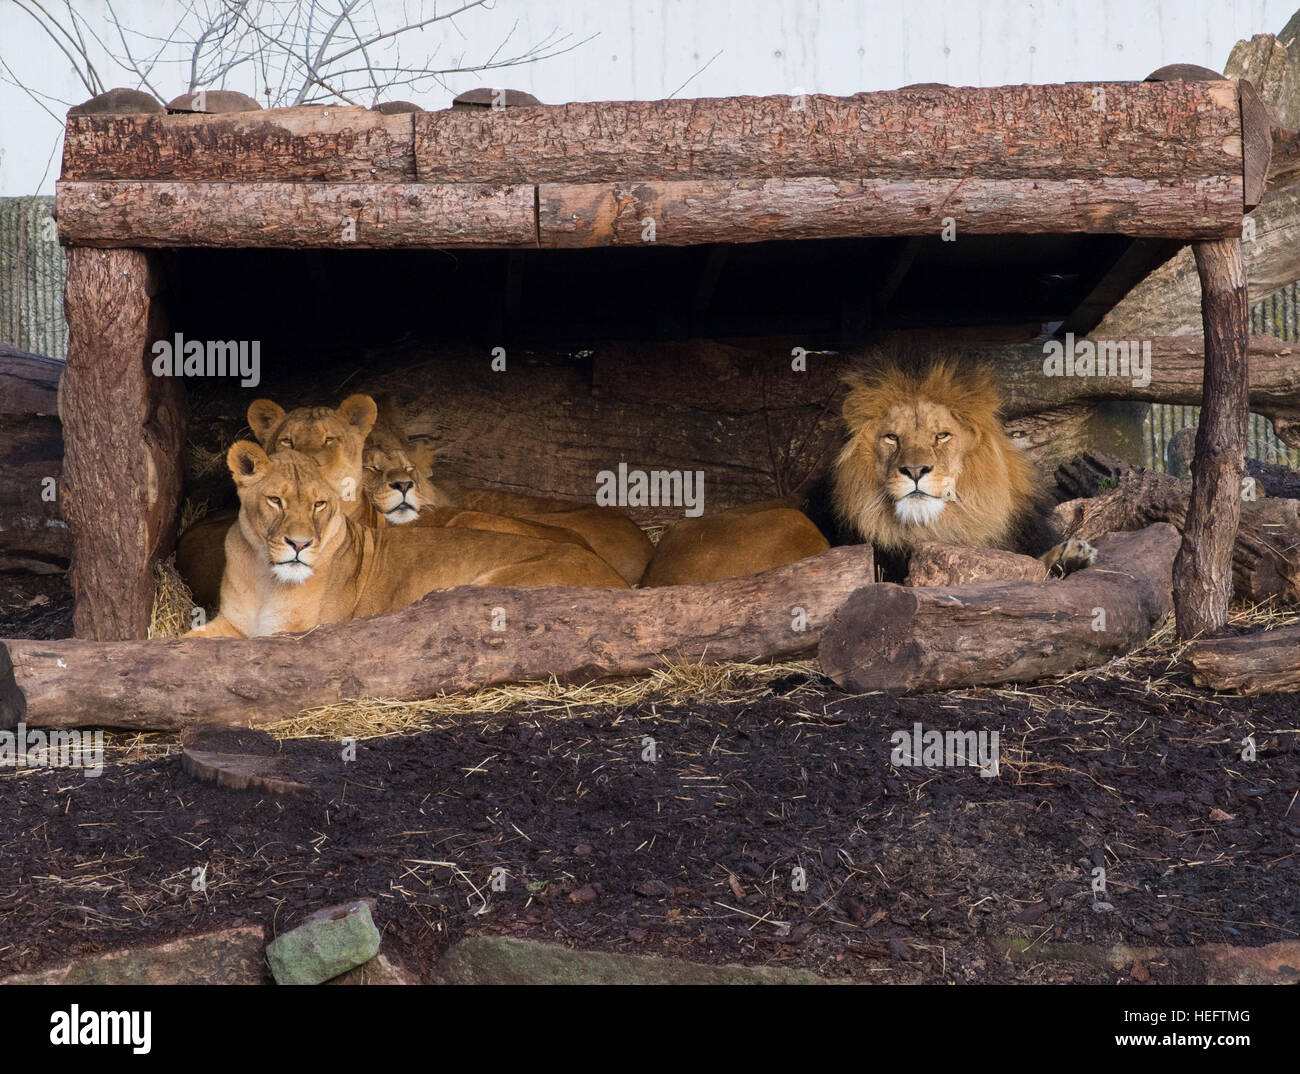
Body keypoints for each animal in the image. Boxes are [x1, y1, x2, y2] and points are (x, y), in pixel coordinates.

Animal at [185, 442, 628, 639]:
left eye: (319, 504)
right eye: (275, 501)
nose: (299, 544)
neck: (265, 576)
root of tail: (621, 582)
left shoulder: (295, 635)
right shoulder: (230, 624)